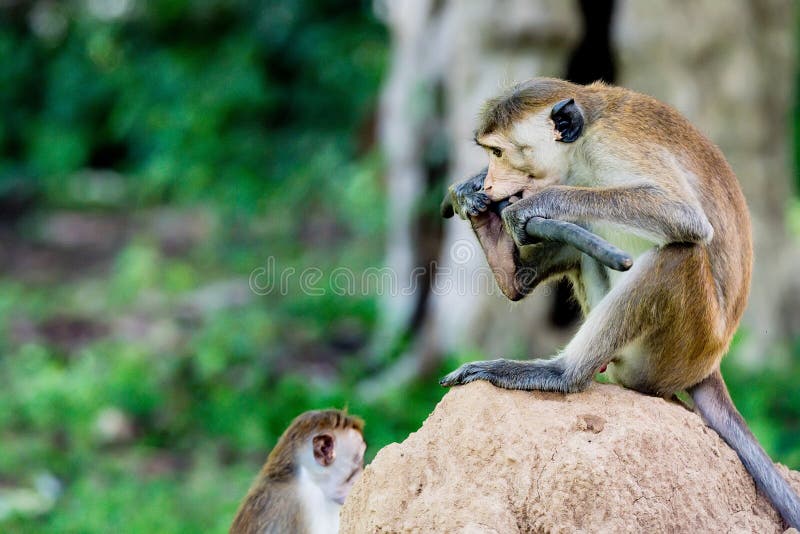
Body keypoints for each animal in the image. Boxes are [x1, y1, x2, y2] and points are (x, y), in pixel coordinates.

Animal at [439, 78, 800, 528]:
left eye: (499, 153)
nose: (489, 183)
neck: (582, 143)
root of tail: (710, 365)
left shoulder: (613, 145)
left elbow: (685, 218)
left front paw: (530, 206)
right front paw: (474, 198)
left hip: (680, 347)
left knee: (679, 252)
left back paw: (563, 373)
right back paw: (511, 274)